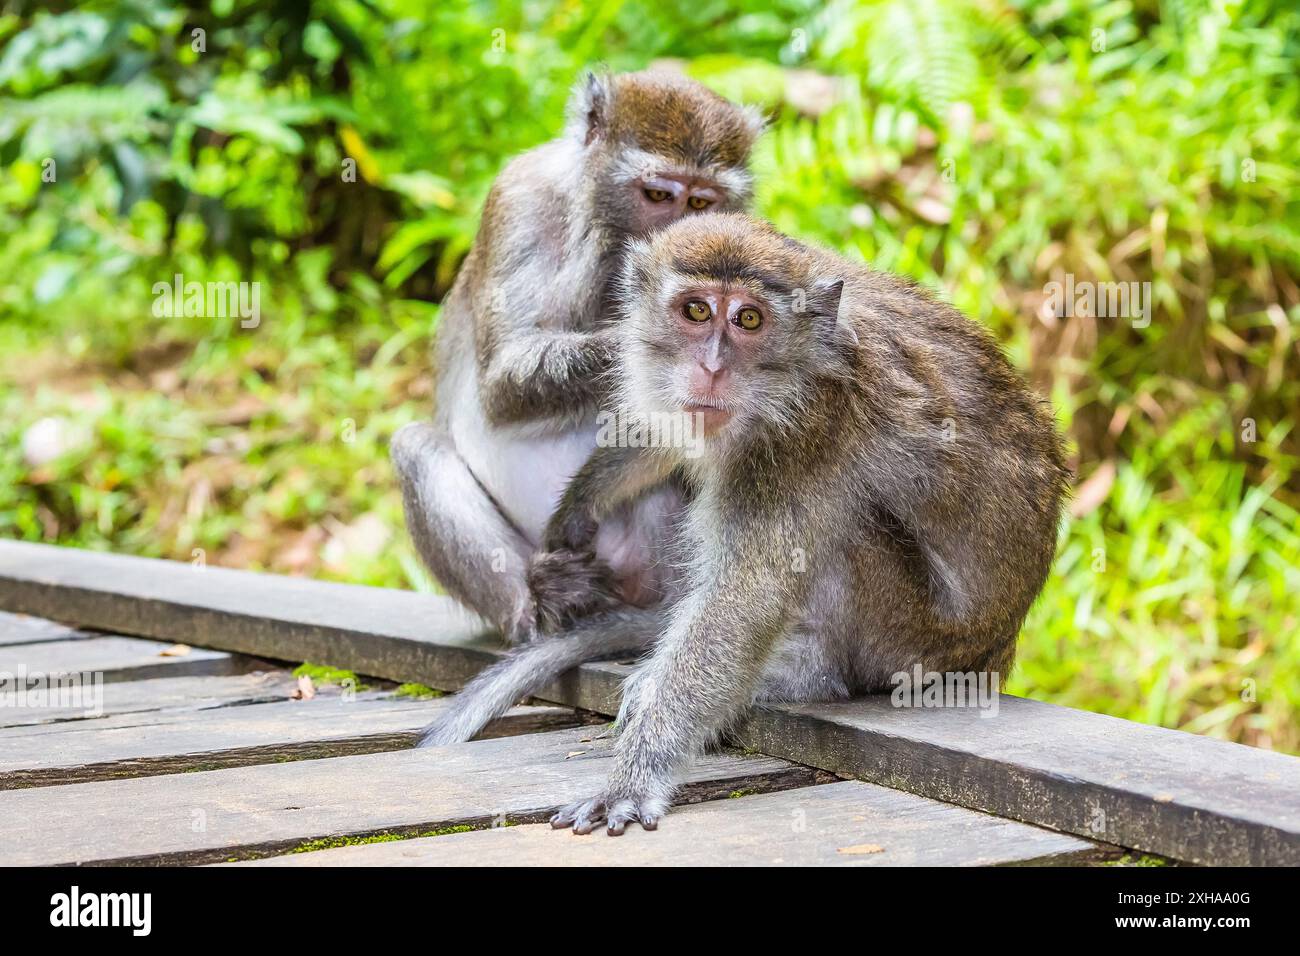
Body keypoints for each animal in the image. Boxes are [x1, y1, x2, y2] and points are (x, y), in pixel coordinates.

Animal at [390, 70, 764, 646]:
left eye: (702, 203)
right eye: (658, 195)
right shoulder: (518, 198)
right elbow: (503, 384)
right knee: (417, 448)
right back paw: (539, 605)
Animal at [419, 212, 1069, 837]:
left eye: (749, 319)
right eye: (696, 311)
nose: (711, 368)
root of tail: (994, 654)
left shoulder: (807, 433)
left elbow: (744, 599)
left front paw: (632, 779)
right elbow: (665, 434)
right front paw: (582, 502)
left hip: (912, 642)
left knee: (845, 527)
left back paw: (808, 674)